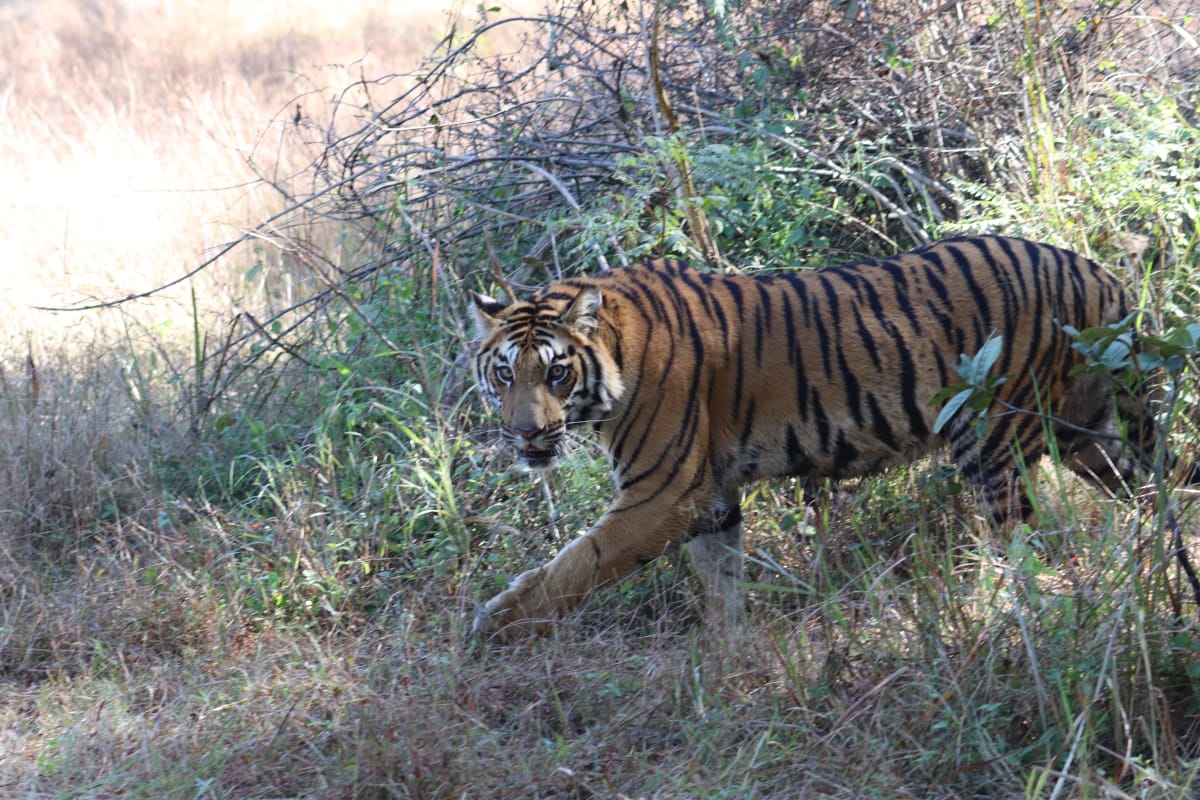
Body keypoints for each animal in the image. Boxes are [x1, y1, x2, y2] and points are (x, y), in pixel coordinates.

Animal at [469, 234, 1197, 638]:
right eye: (504, 374)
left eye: (556, 371)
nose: (525, 435)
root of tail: (1099, 274)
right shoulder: (709, 498)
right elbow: (720, 580)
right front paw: (730, 656)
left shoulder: (661, 496)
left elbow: (573, 566)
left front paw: (488, 626)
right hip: (1088, 433)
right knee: (1147, 490)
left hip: (993, 437)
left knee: (1023, 544)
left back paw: (1006, 614)